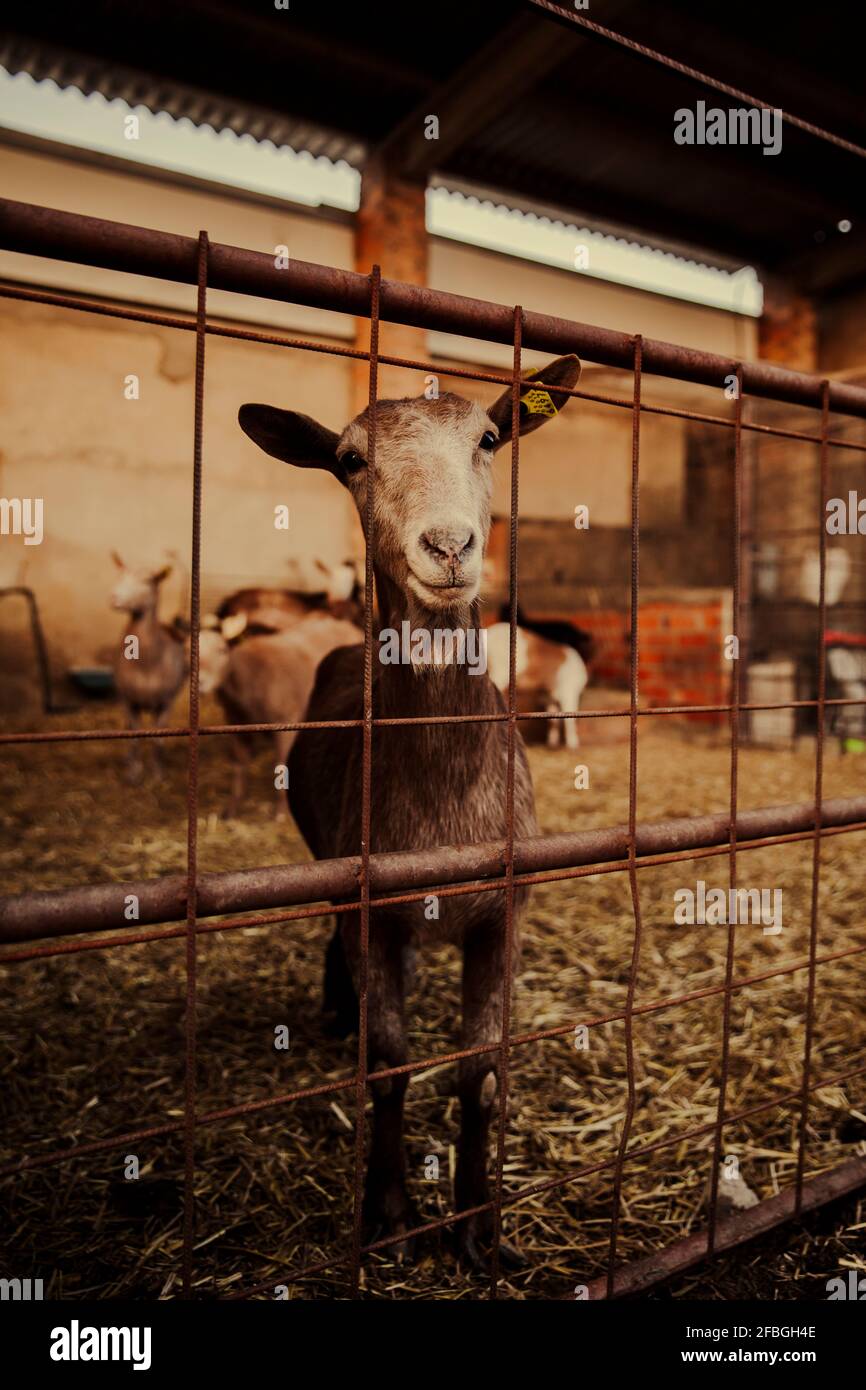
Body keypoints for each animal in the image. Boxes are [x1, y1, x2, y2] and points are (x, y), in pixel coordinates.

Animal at [110, 553, 187, 778]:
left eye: (148, 581)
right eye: (120, 574)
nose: (115, 598)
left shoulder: (166, 702)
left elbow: (158, 739)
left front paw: (157, 773)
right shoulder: (127, 700)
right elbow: (134, 737)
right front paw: (134, 772)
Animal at [239, 353, 581, 1266]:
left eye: (491, 438)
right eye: (350, 459)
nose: (449, 545)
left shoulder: (505, 912)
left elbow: (481, 1070)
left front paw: (478, 1226)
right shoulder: (373, 905)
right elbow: (389, 1062)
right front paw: (391, 1216)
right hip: (329, 862)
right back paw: (335, 1011)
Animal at [485, 607, 592, 749]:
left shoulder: (550, 697)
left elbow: (553, 720)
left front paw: (552, 744)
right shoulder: (569, 693)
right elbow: (569, 717)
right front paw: (573, 745)